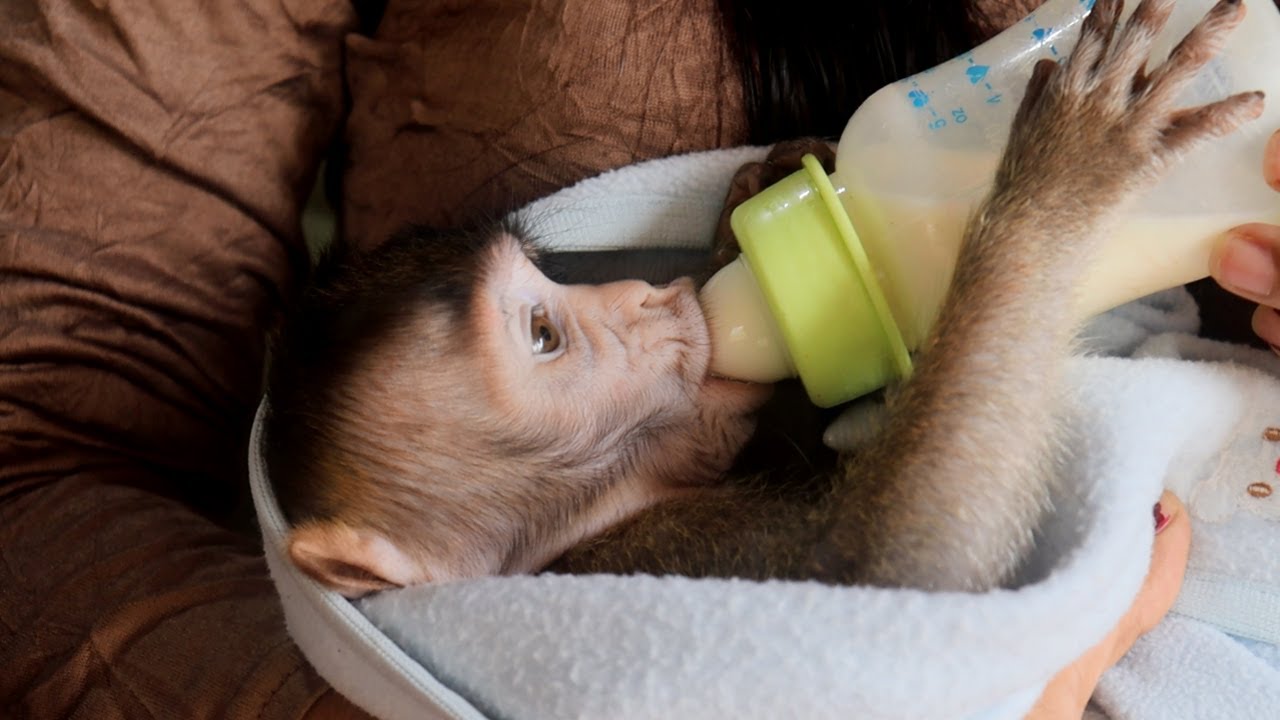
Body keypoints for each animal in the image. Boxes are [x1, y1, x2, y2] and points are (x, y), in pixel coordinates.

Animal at [263, 0, 1262, 598]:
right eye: (543, 332)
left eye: (549, 284)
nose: (645, 298)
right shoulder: (642, 558)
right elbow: (894, 565)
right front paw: (1068, 175)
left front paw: (758, 193)